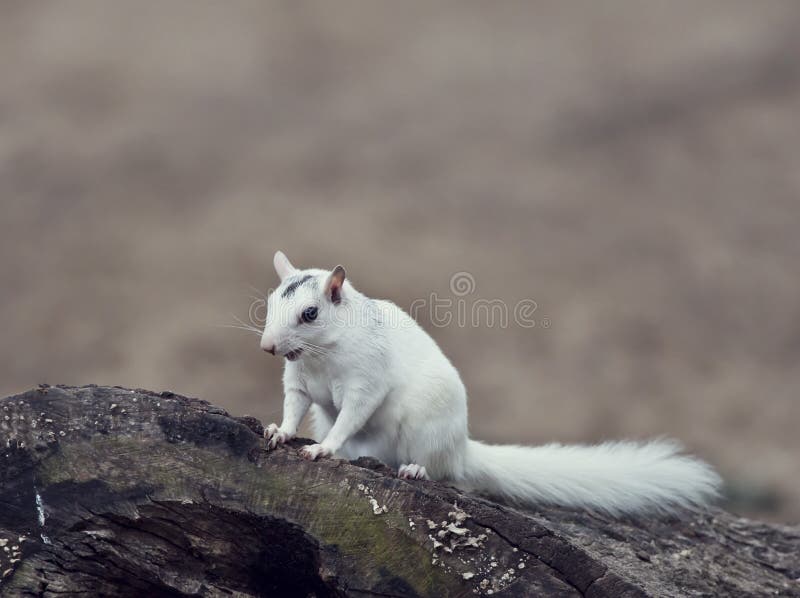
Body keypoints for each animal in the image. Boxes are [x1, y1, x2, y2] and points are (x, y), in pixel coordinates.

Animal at [260, 250, 721, 515]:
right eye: (269, 302)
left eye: (310, 313)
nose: (267, 346)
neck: (320, 357)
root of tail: (462, 448)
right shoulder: (299, 383)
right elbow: (293, 408)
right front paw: (280, 432)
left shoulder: (364, 380)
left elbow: (350, 417)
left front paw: (323, 448)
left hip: (428, 427)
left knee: (437, 468)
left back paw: (415, 469)